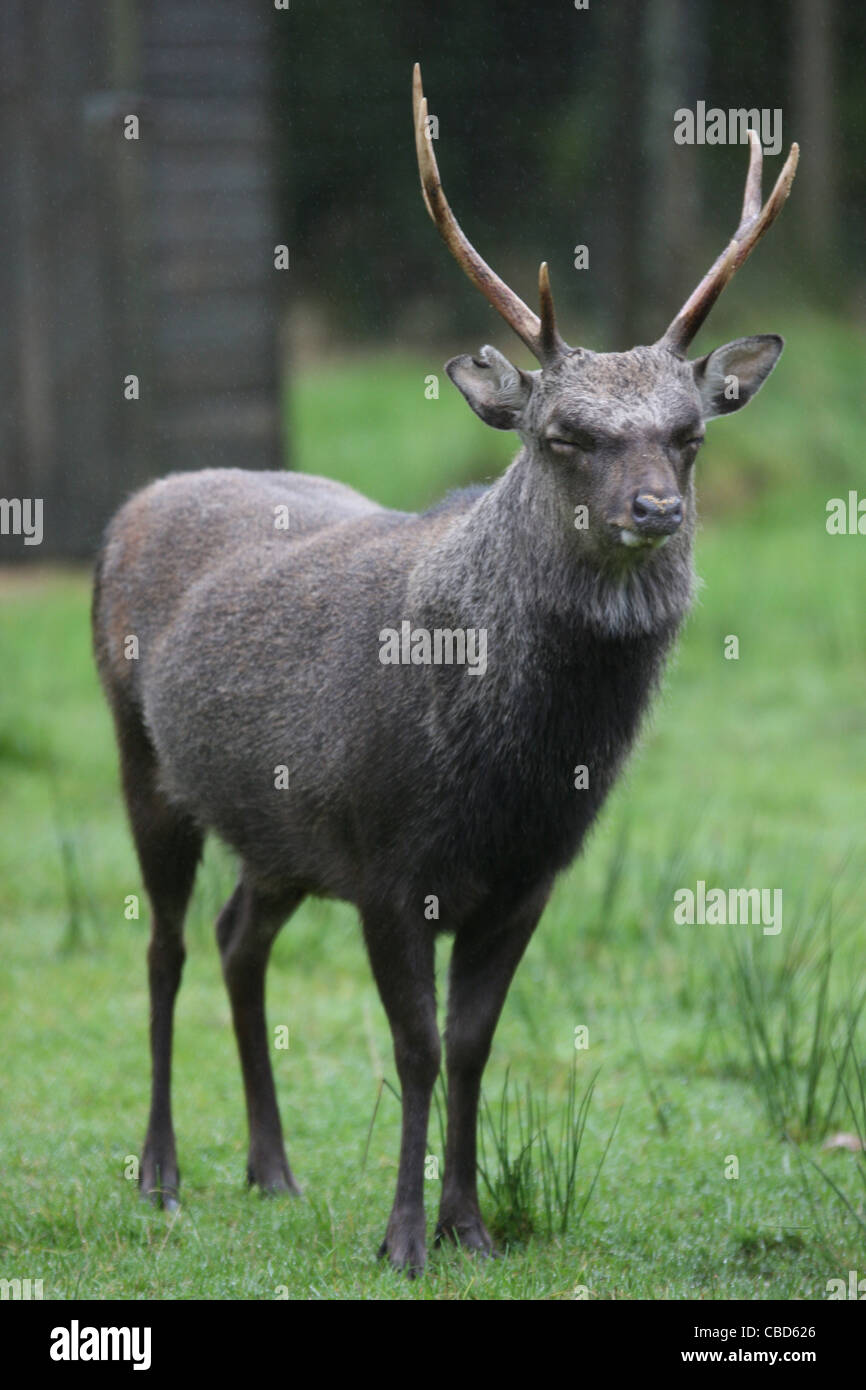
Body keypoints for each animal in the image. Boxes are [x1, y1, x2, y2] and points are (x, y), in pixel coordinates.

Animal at [92, 64, 798, 1275]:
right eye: (565, 435)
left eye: (690, 434)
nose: (653, 509)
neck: (508, 772)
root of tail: (128, 510)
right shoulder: (388, 859)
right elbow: (416, 1047)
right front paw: (404, 1239)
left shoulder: (527, 877)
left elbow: (472, 1045)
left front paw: (472, 1225)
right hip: (143, 759)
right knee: (165, 944)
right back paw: (161, 1174)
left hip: (282, 832)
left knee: (237, 937)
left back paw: (272, 1167)